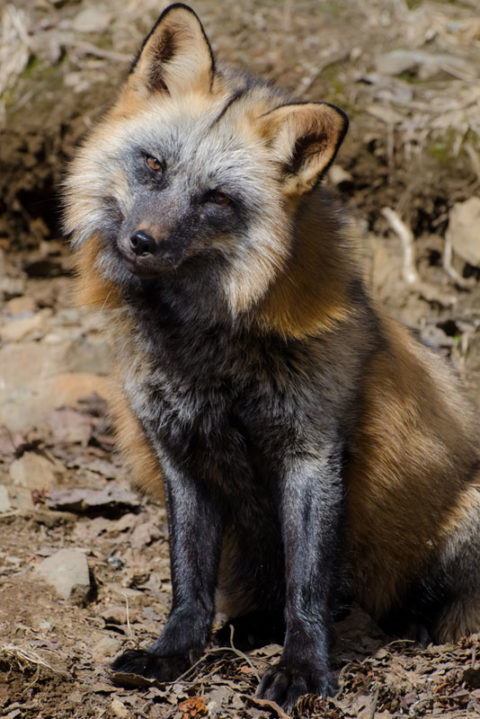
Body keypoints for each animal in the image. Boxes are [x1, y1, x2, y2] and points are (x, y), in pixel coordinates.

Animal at [64, 3, 480, 711]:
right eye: (153, 164)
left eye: (216, 199)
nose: (142, 242)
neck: (207, 354)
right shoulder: (182, 456)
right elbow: (188, 583)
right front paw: (174, 655)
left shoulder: (310, 452)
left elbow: (307, 589)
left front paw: (304, 671)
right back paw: (245, 630)